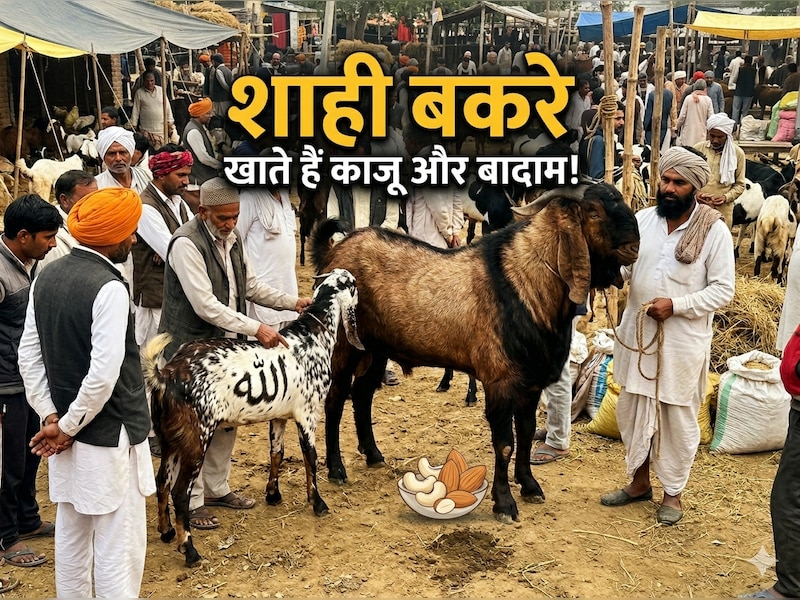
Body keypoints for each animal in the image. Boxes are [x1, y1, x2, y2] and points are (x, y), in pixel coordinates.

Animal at [142, 269, 363, 567]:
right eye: (354, 285)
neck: (311, 338)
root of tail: (167, 376)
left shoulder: (279, 416)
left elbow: (277, 454)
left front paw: (273, 495)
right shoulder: (308, 413)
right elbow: (311, 457)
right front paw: (318, 503)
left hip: (169, 439)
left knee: (162, 482)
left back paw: (166, 532)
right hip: (196, 438)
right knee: (180, 492)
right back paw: (189, 551)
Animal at [310, 183, 640, 523]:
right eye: (594, 212)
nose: (635, 247)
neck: (525, 283)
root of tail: (333, 253)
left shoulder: (531, 383)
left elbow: (526, 433)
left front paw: (530, 486)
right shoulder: (500, 381)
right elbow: (505, 444)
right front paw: (504, 504)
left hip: (376, 350)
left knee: (362, 394)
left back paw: (374, 454)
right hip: (344, 346)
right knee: (336, 399)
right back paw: (336, 469)